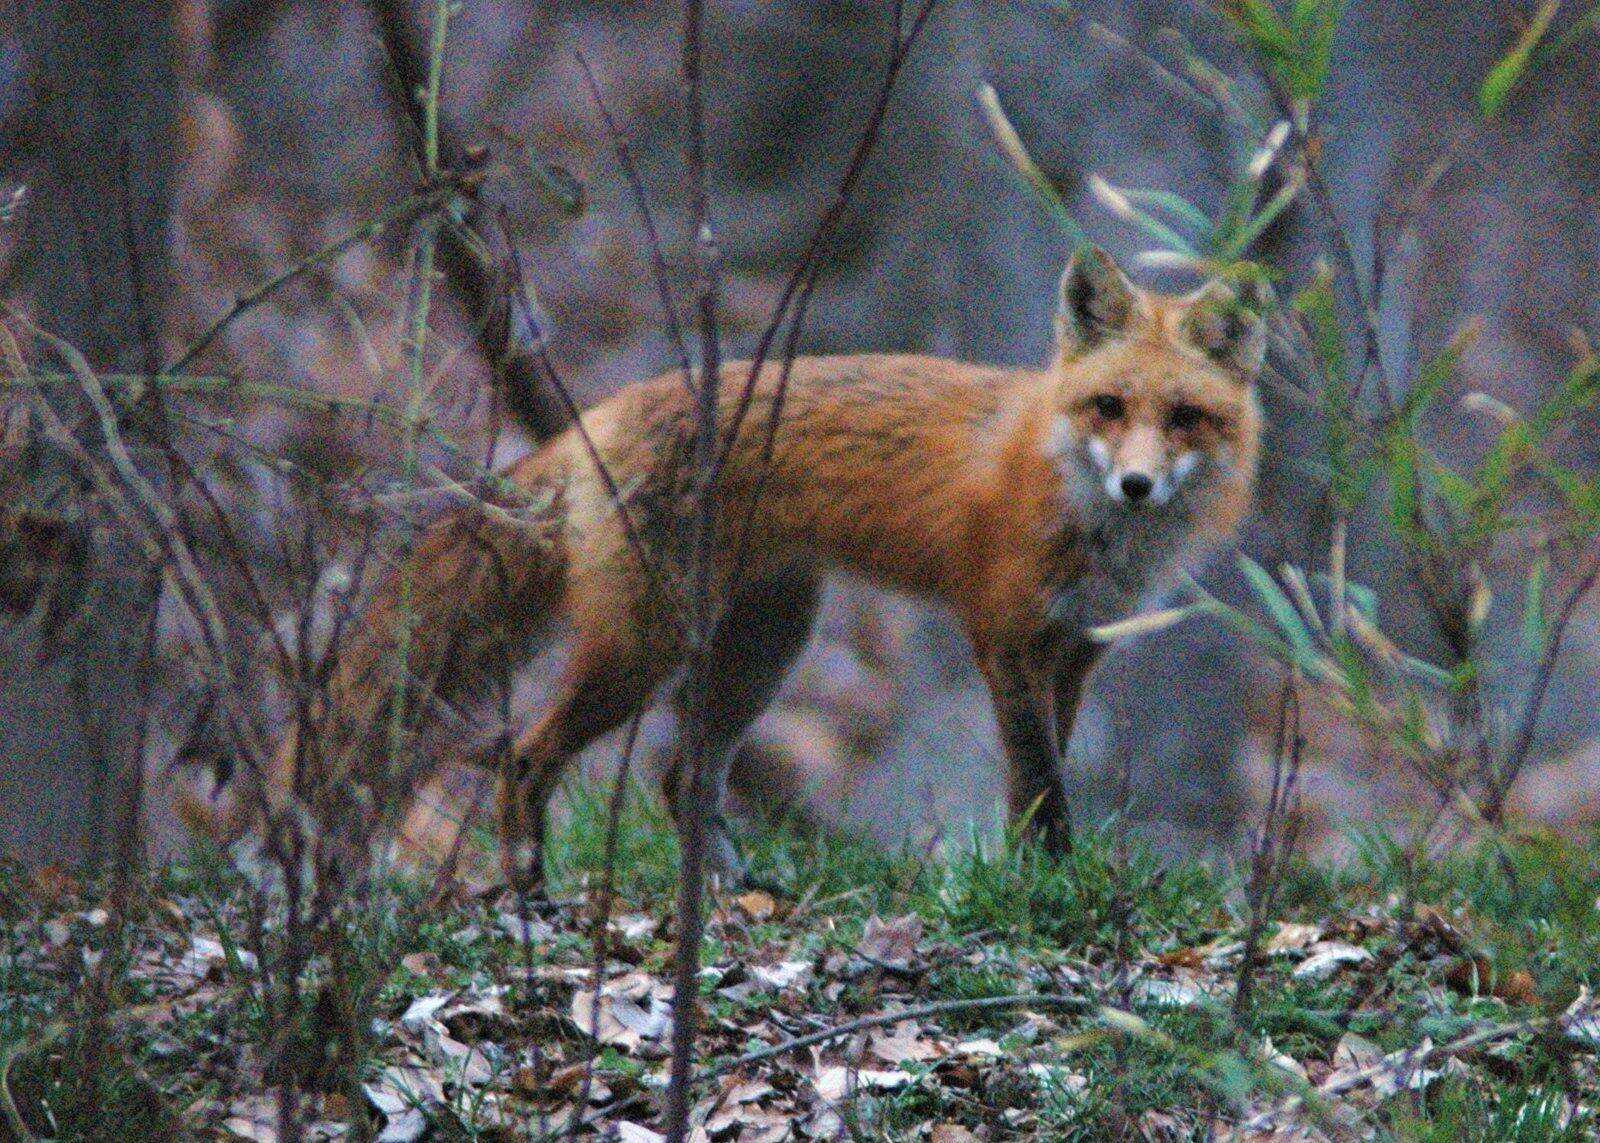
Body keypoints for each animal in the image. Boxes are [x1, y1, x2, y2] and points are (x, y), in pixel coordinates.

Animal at [179, 246, 1265, 889]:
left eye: (1184, 417)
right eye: (1108, 407)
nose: (1136, 484)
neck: (1085, 516)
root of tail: (597, 417)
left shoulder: (1074, 650)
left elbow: (1046, 780)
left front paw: (1043, 879)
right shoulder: (1002, 635)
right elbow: (1039, 784)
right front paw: (1047, 890)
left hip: (760, 649)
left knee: (675, 776)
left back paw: (726, 888)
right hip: (647, 648)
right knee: (526, 757)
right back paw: (534, 898)